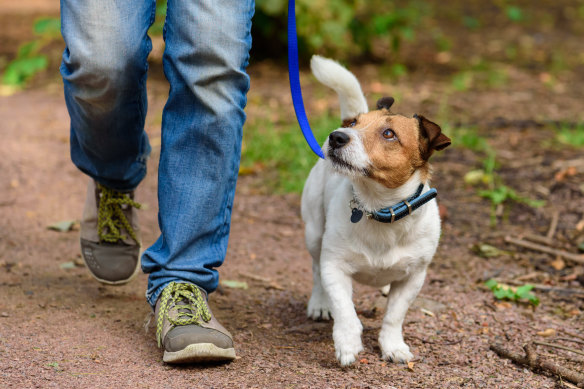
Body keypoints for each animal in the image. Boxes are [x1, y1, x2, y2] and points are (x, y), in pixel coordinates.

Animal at [302, 56, 452, 366]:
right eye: (354, 123)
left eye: (388, 134)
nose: (336, 136)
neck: (378, 208)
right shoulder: (335, 267)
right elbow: (345, 310)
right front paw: (347, 343)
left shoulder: (413, 278)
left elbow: (394, 315)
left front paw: (393, 346)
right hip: (314, 232)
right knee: (315, 270)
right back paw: (320, 303)